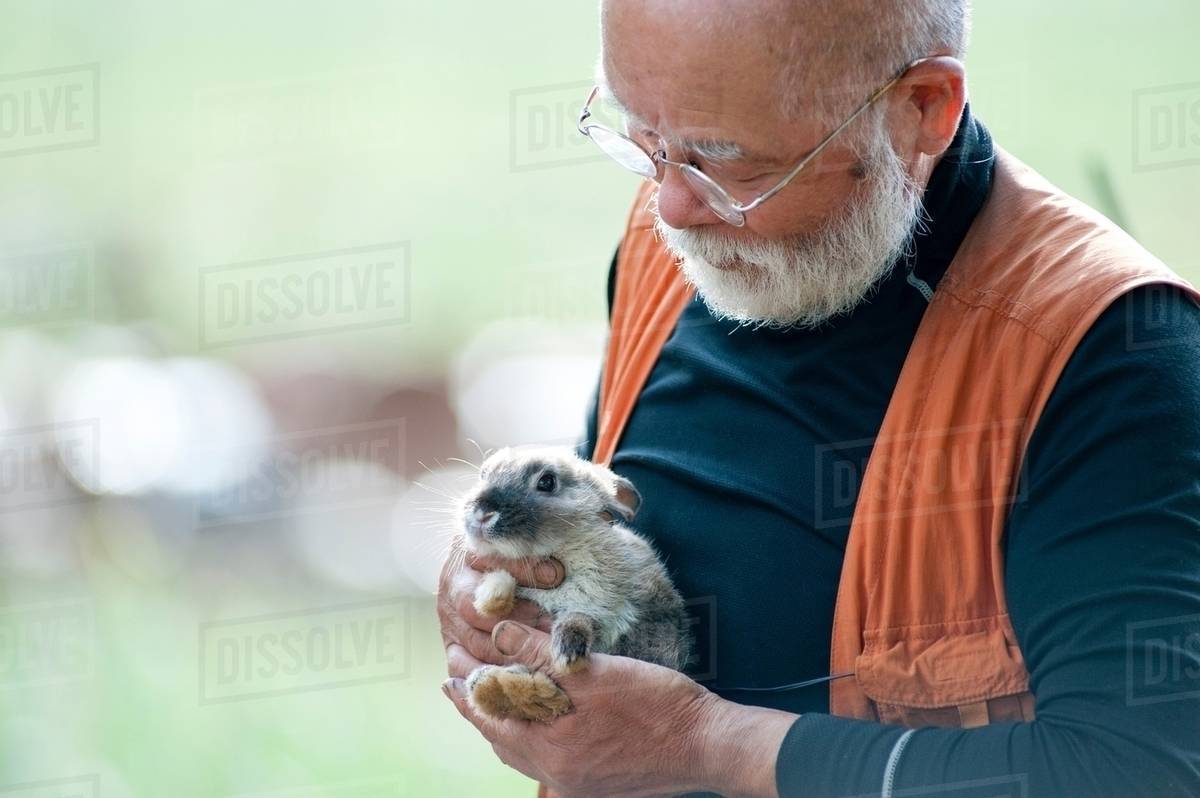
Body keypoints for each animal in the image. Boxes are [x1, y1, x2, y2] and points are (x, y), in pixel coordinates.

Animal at [456, 445, 692, 722]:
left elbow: (579, 618)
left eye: (547, 482)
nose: (482, 513)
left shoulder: (601, 607)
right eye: (483, 475)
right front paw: (492, 597)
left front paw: (568, 654)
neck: (560, 548)